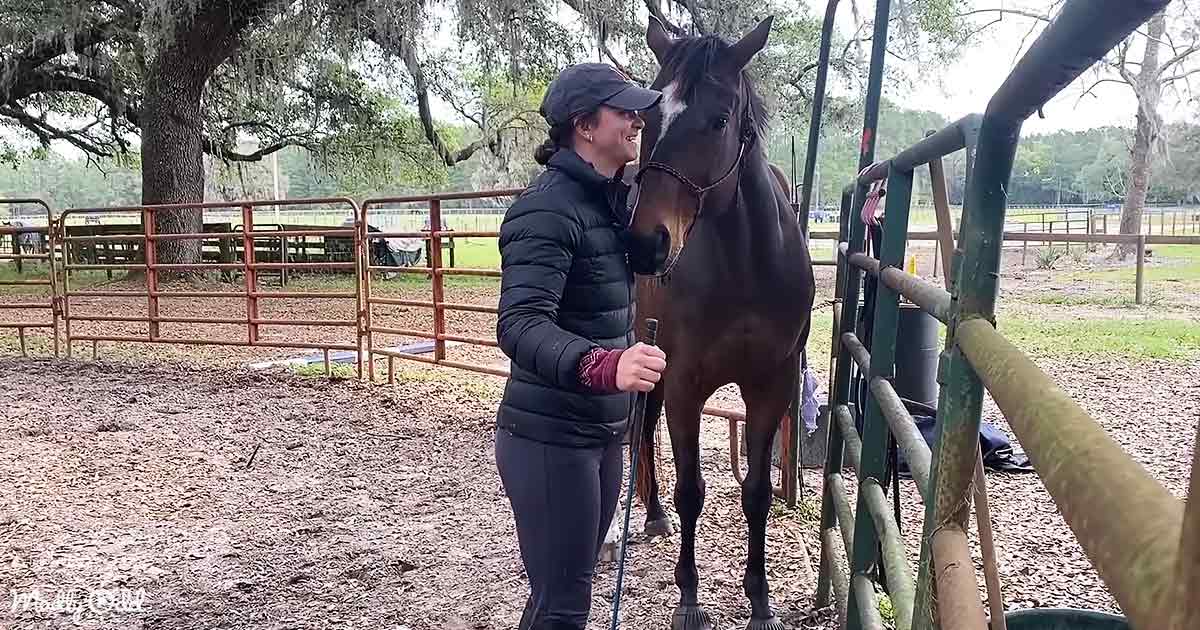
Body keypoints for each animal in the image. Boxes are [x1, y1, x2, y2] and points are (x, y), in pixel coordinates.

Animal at [623, 15, 816, 630]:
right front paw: (688, 597)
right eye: (648, 119)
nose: (646, 244)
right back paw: (653, 515)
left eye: (721, 118)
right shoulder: (684, 382)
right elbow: (691, 490)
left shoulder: (771, 385)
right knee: (641, 431)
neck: (745, 267)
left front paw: (759, 599)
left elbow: (756, 492)